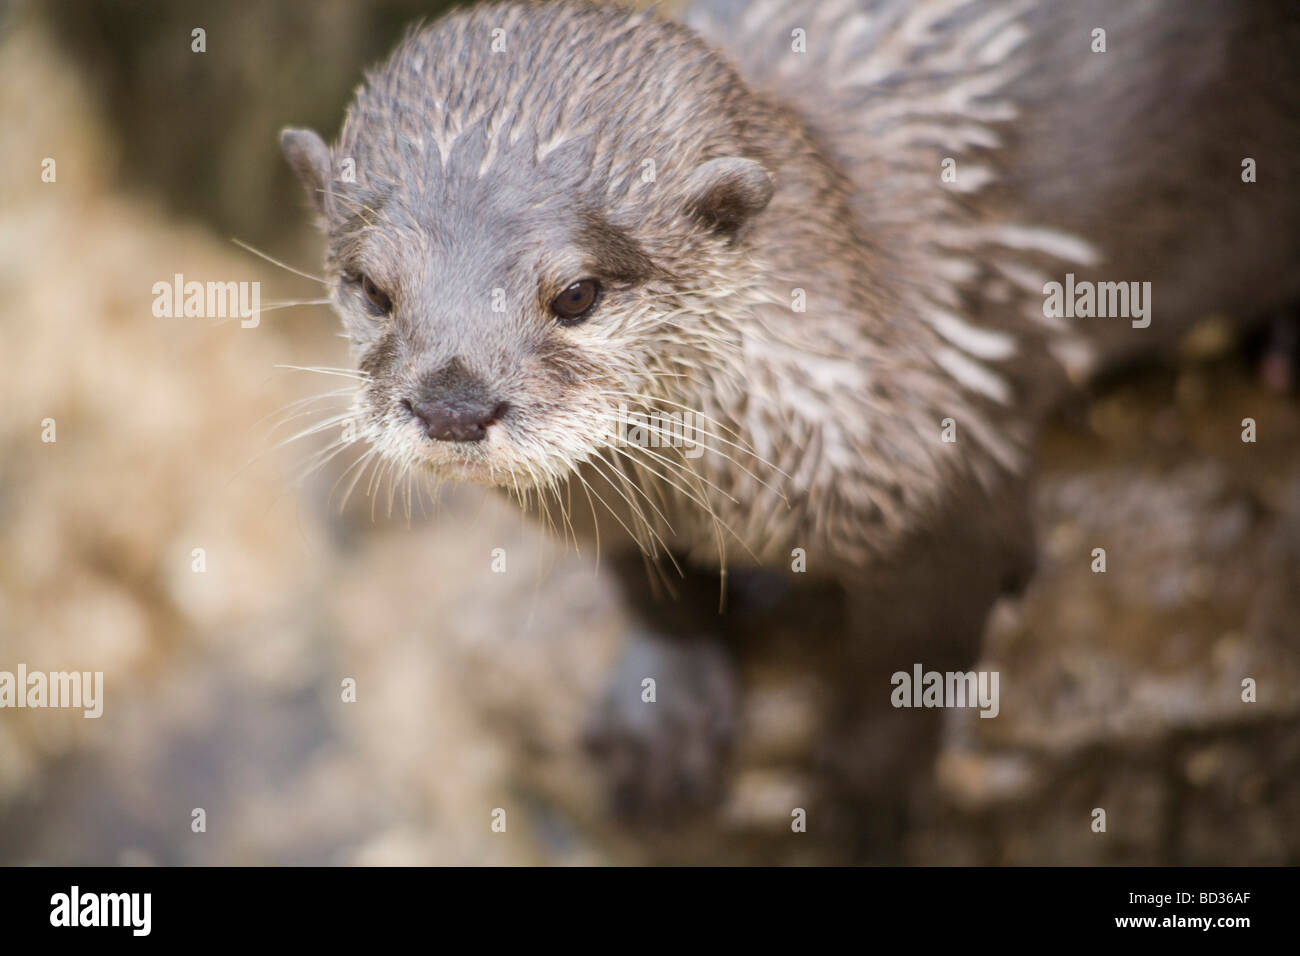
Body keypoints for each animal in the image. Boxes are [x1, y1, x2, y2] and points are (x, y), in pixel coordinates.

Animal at [280, 0, 1300, 831]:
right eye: (371, 287)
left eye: (575, 294)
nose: (453, 401)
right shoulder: (606, 514)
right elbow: (649, 590)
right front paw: (664, 710)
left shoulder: (954, 473)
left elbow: (918, 646)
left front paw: (868, 786)